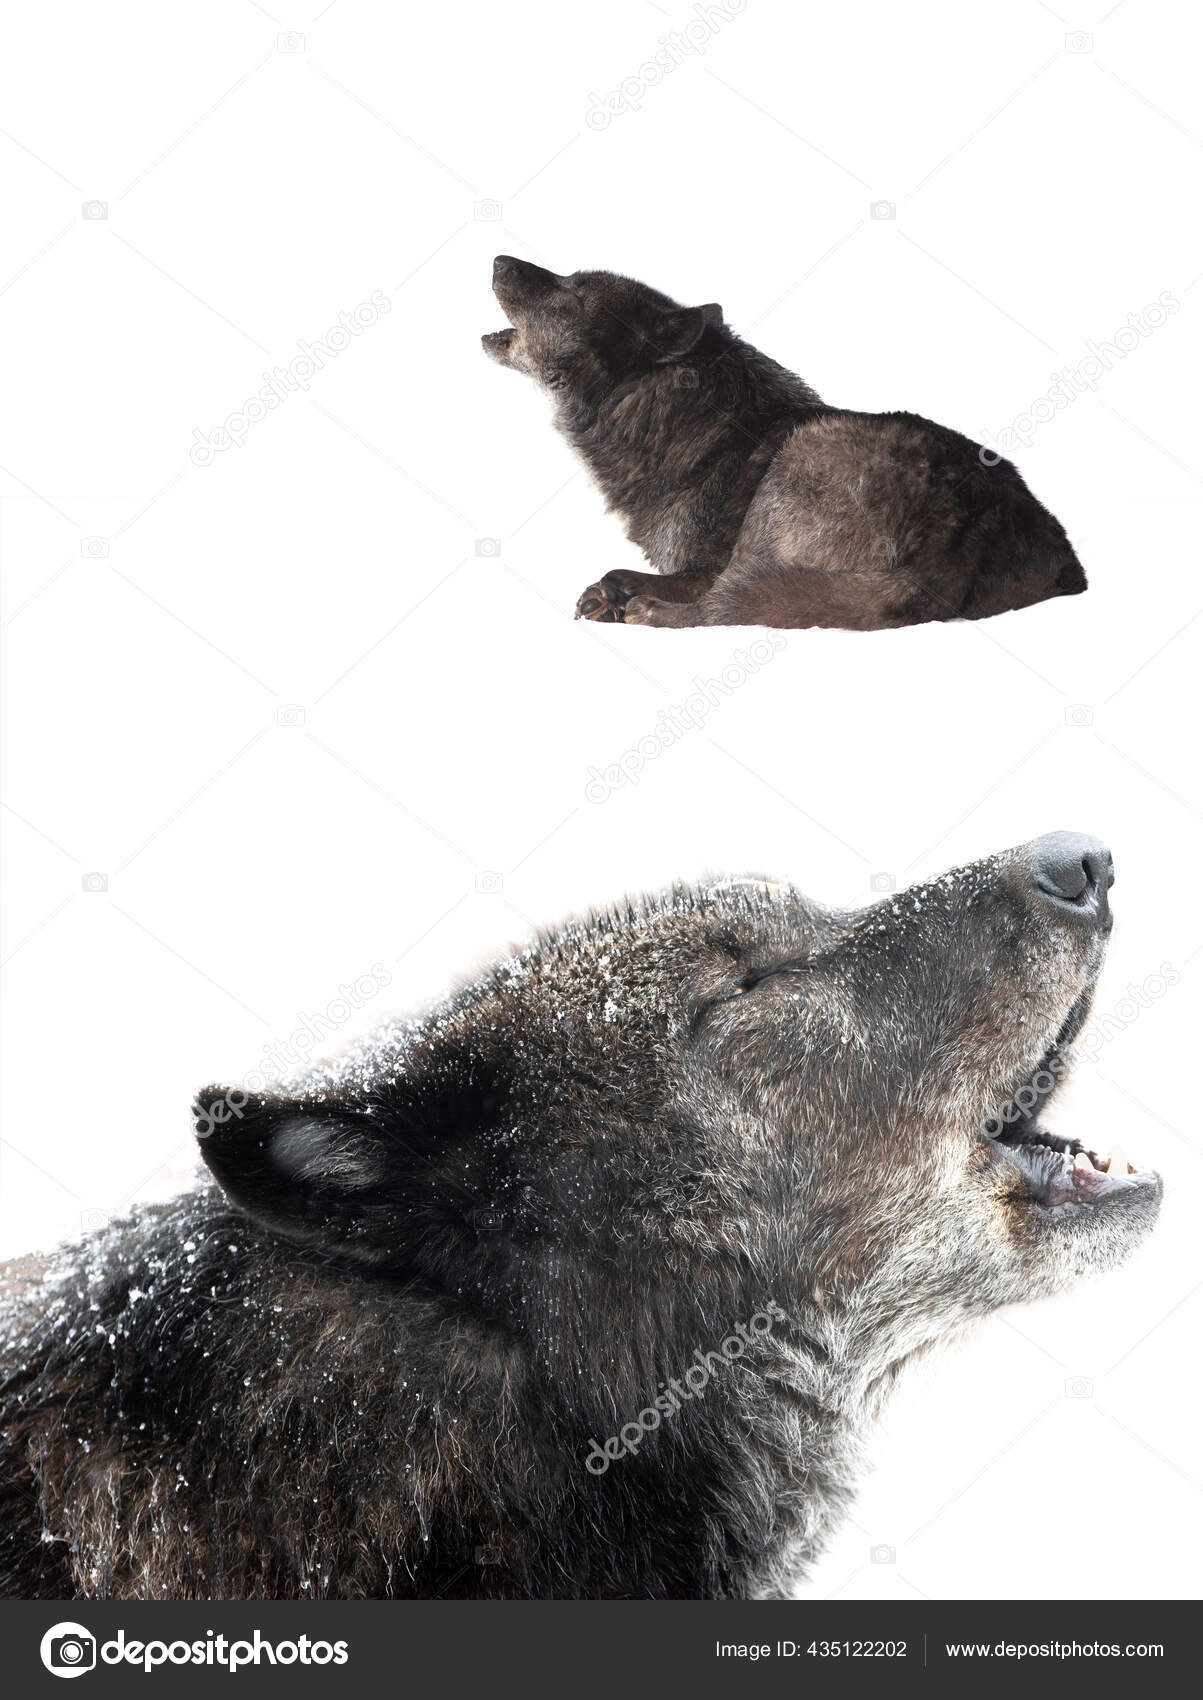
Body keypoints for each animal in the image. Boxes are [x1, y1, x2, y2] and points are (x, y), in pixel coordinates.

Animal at [483, 257, 1086, 630]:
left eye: (573, 290)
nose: (498, 260)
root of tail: (960, 517)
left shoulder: (707, 560)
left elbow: (684, 581)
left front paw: (619, 594)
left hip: (796, 460)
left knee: (719, 607)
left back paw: (646, 610)